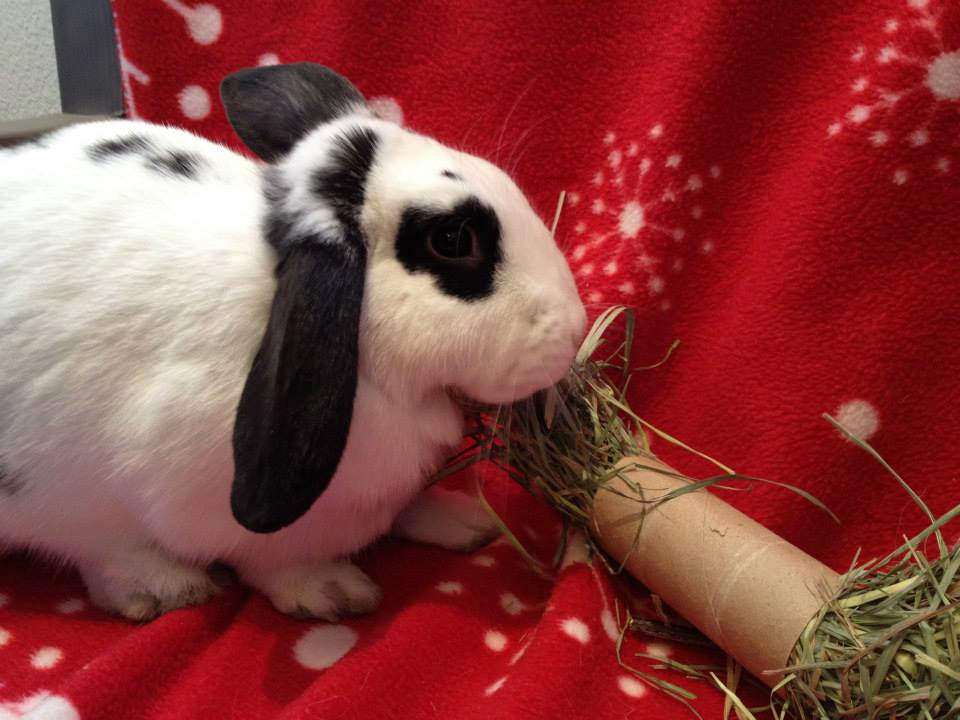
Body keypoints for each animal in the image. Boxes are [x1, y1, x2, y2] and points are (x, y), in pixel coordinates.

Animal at [0, 63, 586, 621]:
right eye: (451, 239)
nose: (576, 328)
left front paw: (467, 521)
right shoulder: (101, 500)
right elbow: (238, 558)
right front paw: (330, 592)